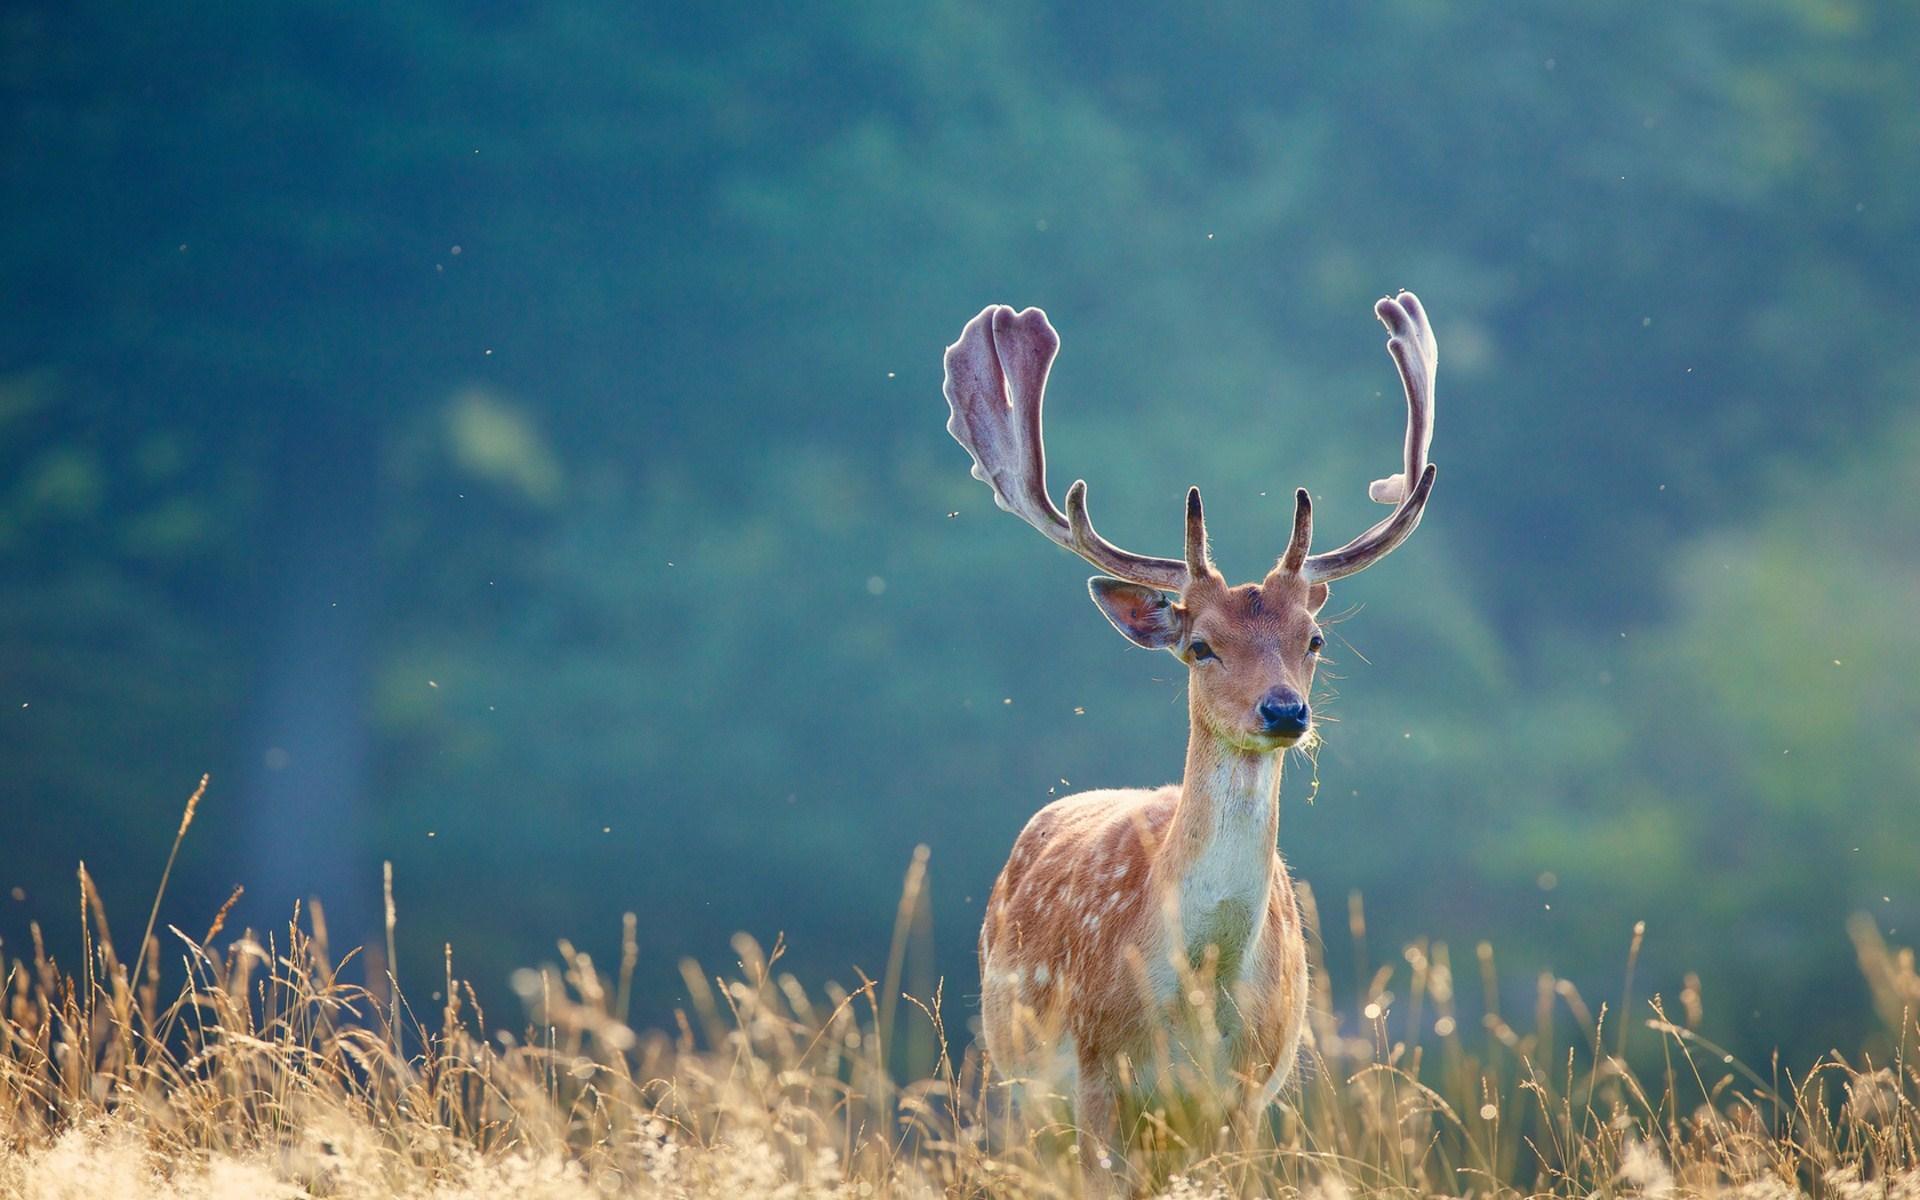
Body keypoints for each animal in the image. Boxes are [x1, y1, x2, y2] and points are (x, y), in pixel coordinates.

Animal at [946, 292, 1438, 1193]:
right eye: (1201, 645)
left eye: (1313, 639)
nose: (1284, 712)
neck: (1195, 998)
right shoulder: (1096, 1078)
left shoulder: (1244, 1094)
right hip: (1017, 1084)